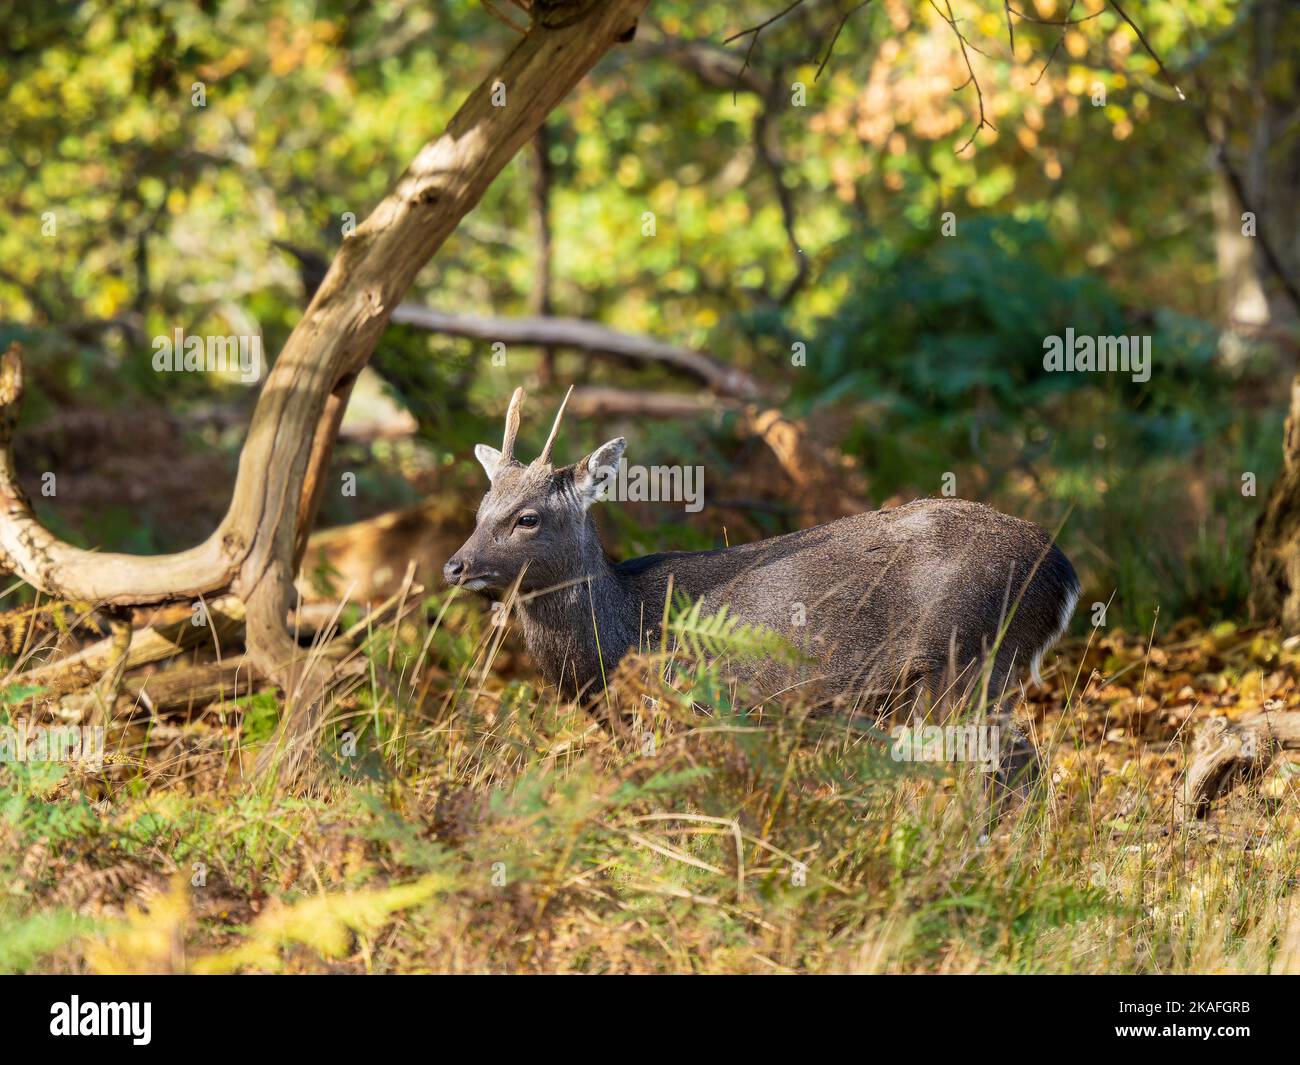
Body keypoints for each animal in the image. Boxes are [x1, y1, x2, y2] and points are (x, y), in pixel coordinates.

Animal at [444, 387, 1079, 790]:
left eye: (527, 518)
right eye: (480, 509)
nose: (455, 565)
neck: (622, 634)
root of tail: (1062, 574)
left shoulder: (697, 709)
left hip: (968, 659)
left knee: (1004, 770)